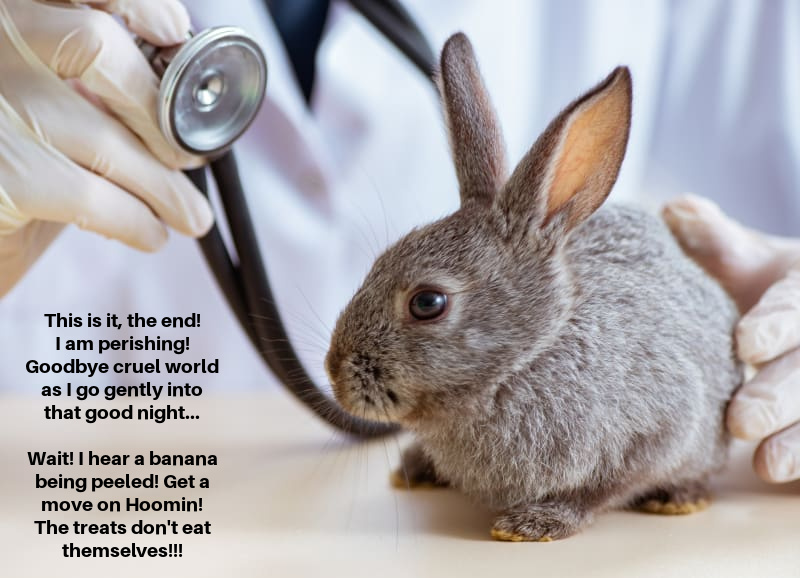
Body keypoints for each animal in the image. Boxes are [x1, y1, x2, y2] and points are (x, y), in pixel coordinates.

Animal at [325, 32, 743, 542]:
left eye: (428, 302)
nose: (334, 373)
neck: (527, 357)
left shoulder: (664, 427)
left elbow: (606, 488)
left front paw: (536, 522)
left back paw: (680, 498)